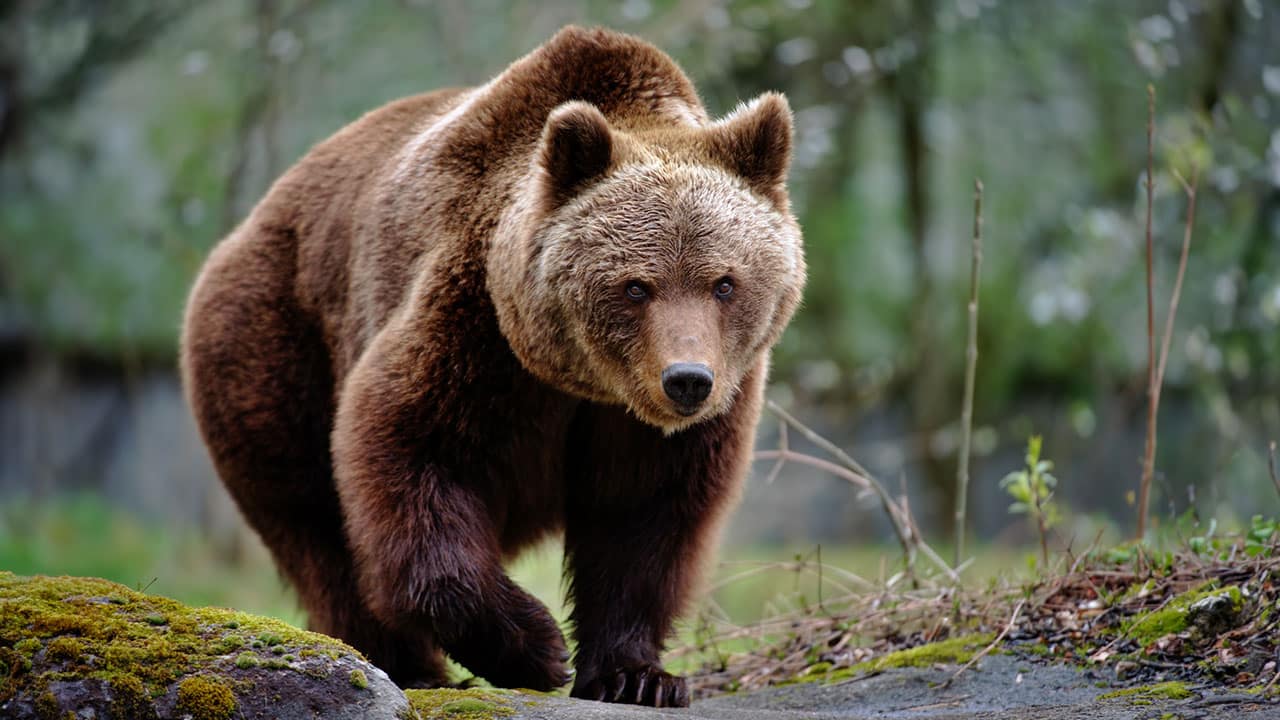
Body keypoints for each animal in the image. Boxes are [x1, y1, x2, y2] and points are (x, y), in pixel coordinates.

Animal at [180, 26, 804, 707]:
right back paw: (406, 664)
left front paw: (637, 676)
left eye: (724, 283)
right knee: (315, 523)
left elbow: (644, 518)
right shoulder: (474, 330)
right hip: (275, 341)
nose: (687, 380)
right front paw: (536, 648)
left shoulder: (667, 419)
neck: (580, 381)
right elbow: (411, 455)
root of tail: (247, 226)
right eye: (636, 286)